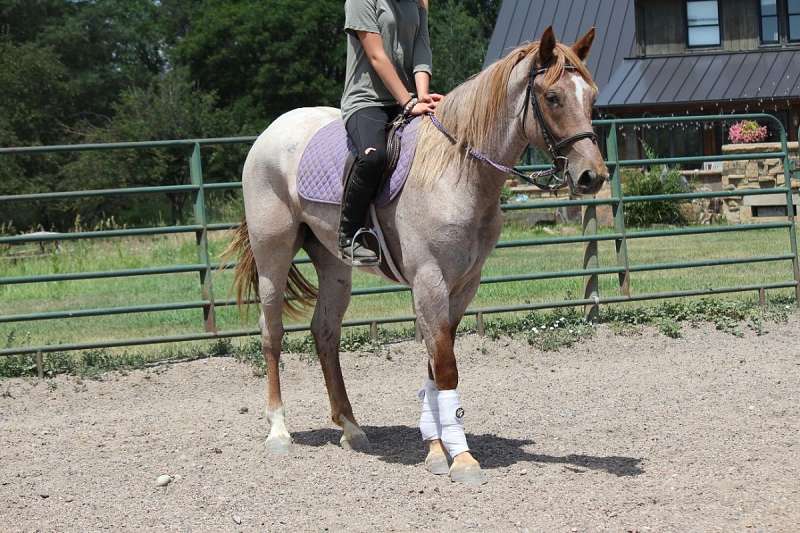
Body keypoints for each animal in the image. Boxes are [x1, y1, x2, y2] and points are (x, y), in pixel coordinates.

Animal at [224, 26, 608, 485]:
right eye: (552, 97)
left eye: (591, 97)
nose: (592, 176)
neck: (458, 171)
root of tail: (271, 133)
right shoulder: (429, 280)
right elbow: (444, 366)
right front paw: (458, 458)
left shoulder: (463, 285)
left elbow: (434, 364)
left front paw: (438, 447)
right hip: (274, 253)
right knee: (272, 333)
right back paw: (279, 432)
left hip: (334, 264)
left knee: (325, 334)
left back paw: (351, 428)